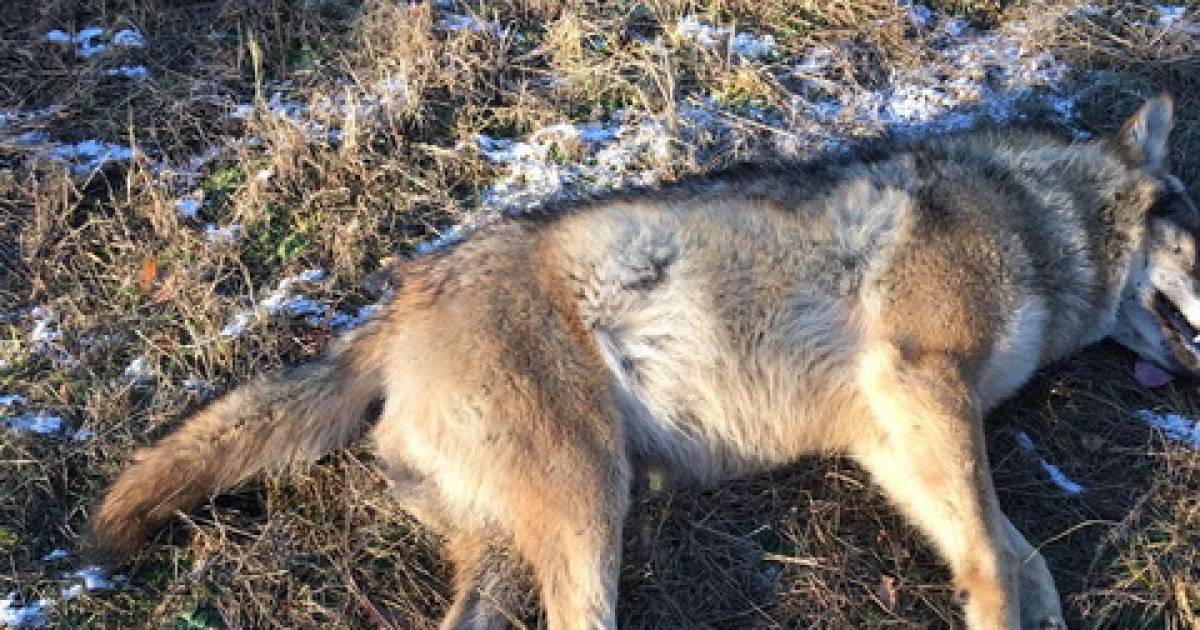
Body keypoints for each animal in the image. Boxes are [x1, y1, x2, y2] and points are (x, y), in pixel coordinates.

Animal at [89, 96, 1198, 629]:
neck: (1034, 219)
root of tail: (398, 307)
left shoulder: (895, 431)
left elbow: (1016, 550)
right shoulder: (922, 384)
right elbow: (999, 558)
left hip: (519, 544)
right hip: (590, 500)